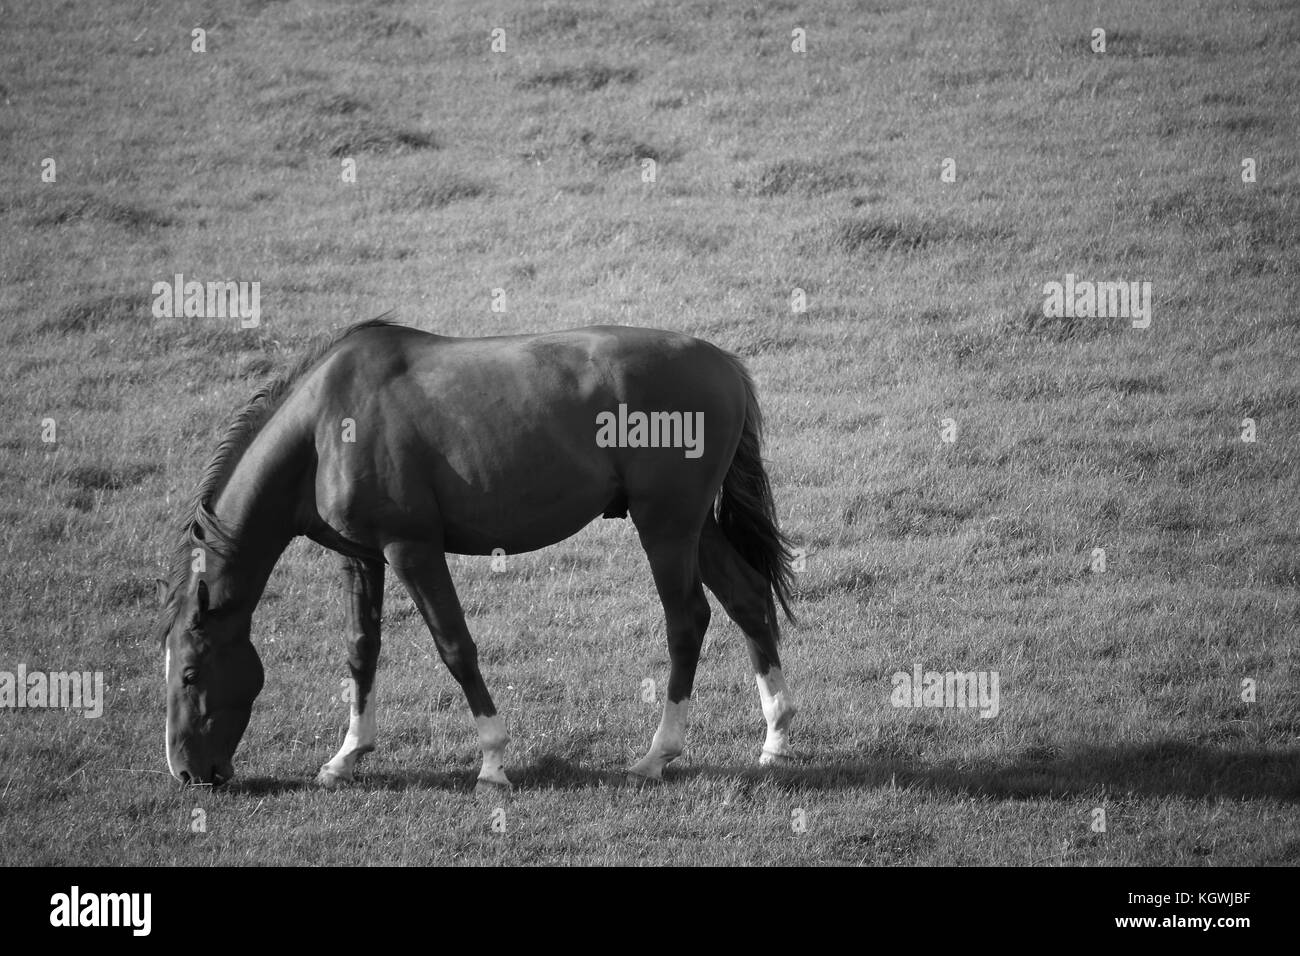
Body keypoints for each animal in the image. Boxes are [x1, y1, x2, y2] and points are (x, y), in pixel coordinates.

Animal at [156, 318, 798, 790]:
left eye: (189, 672)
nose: (186, 773)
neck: (324, 424)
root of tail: (724, 363)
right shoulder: (362, 558)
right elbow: (362, 651)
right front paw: (347, 756)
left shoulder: (411, 551)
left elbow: (455, 648)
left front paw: (492, 761)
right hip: (692, 527)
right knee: (747, 600)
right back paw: (775, 737)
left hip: (666, 527)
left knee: (688, 621)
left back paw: (658, 753)